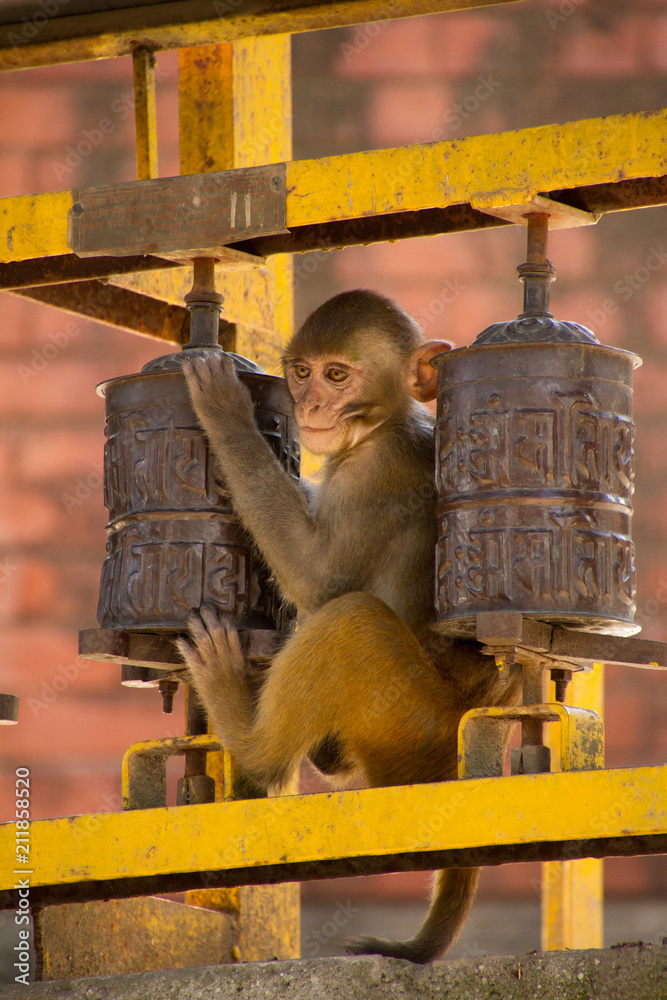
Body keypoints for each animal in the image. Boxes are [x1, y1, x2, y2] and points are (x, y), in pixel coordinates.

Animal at [177, 289, 520, 964]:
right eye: (302, 372)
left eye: (338, 376)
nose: (309, 405)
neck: (381, 425)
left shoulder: (373, 473)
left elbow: (318, 577)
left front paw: (227, 414)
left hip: (409, 728)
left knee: (350, 620)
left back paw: (248, 738)